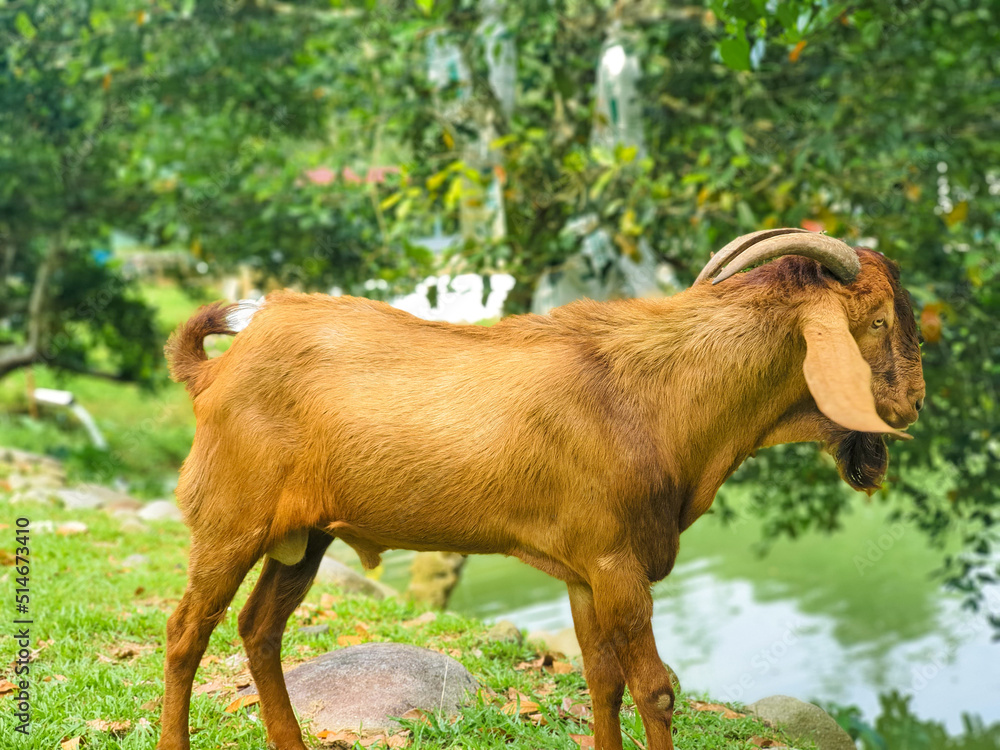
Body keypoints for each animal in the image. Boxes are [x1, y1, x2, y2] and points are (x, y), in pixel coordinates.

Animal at [157, 228, 924, 750]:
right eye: (879, 322)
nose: (913, 403)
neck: (659, 393)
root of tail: (215, 371)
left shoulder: (585, 571)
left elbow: (602, 681)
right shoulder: (617, 564)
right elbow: (656, 688)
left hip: (304, 538)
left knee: (260, 629)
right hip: (229, 522)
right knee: (185, 632)